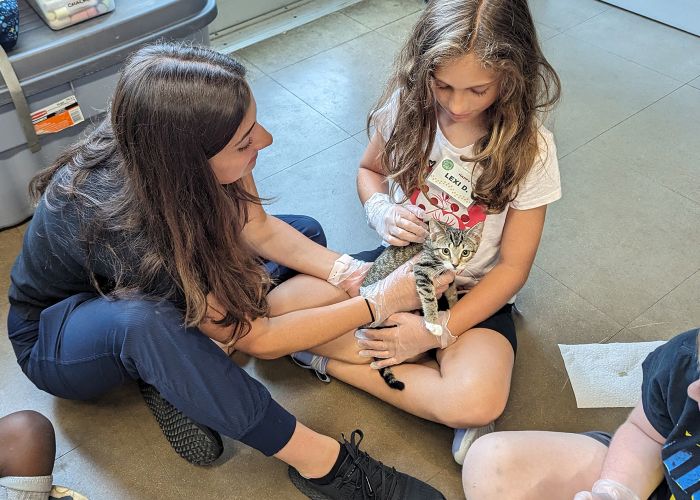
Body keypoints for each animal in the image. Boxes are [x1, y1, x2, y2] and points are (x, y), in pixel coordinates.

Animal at [358, 220, 484, 390]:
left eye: (465, 252)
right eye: (446, 250)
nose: (455, 265)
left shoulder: (449, 276)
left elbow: (451, 291)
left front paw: (454, 305)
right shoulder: (421, 268)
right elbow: (429, 295)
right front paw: (433, 323)